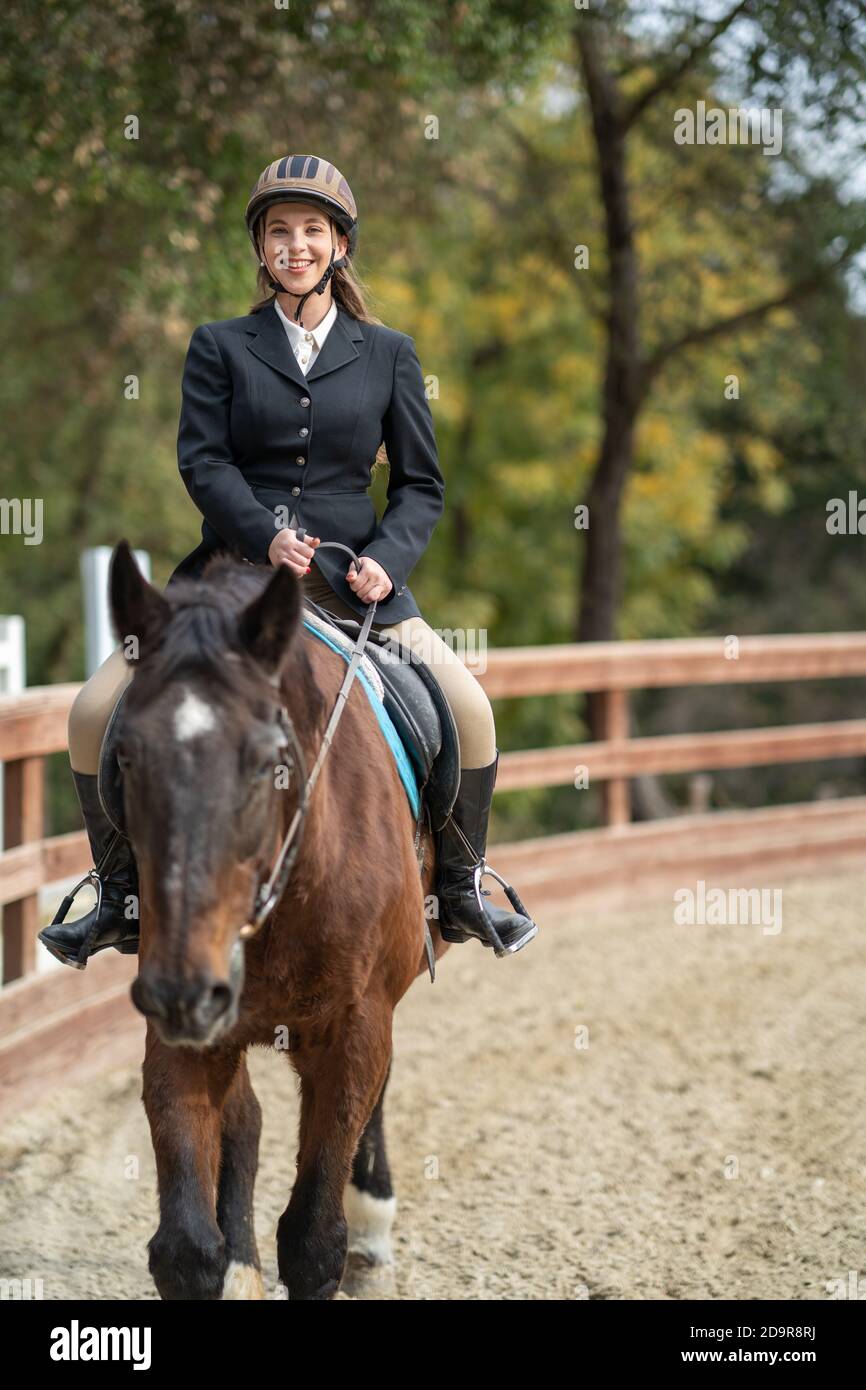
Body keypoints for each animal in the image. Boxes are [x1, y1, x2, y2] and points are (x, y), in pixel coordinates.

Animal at [107, 538, 448, 1300]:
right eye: (127, 756)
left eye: (266, 761)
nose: (183, 992)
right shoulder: (183, 1021)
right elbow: (185, 1250)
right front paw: (226, 1260)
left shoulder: (356, 1024)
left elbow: (314, 1240)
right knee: (246, 1118)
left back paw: (372, 1223)